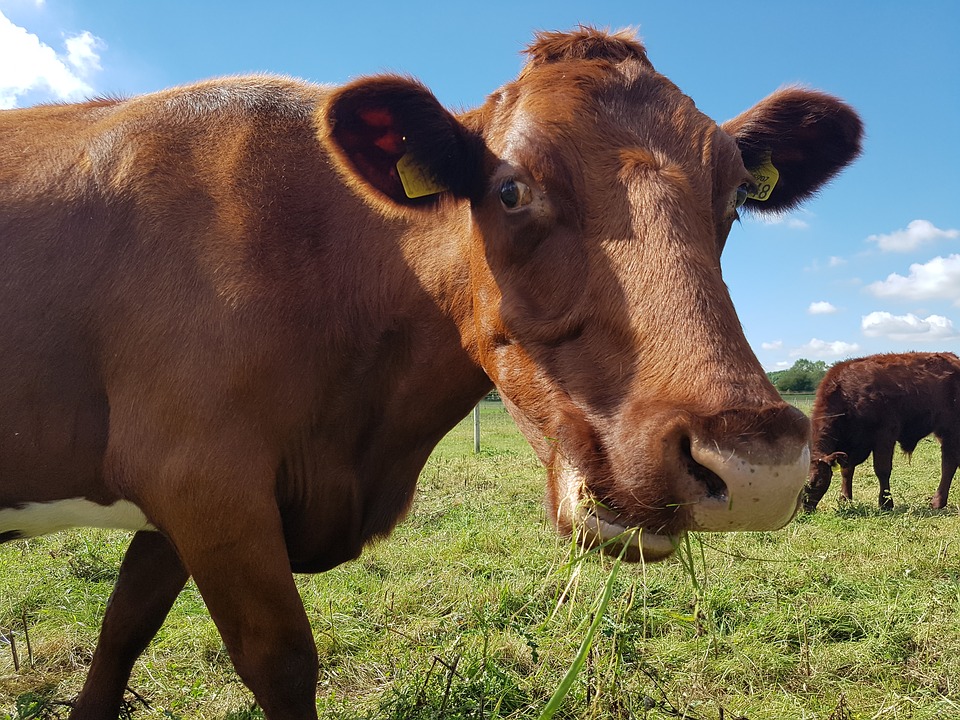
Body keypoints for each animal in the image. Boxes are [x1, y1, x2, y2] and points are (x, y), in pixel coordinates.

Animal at [0, 27, 862, 719]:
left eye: (735, 197)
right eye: (510, 189)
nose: (754, 464)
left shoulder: (178, 504)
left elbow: (119, 638)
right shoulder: (204, 478)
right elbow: (281, 661)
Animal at [803, 352, 960, 512]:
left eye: (813, 482)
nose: (805, 510)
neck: (846, 395)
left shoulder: (885, 435)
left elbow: (882, 470)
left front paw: (885, 503)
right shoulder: (849, 447)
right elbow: (846, 471)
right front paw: (845, 499)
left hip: (950, 429)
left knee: (948, 464)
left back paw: (937, 502)